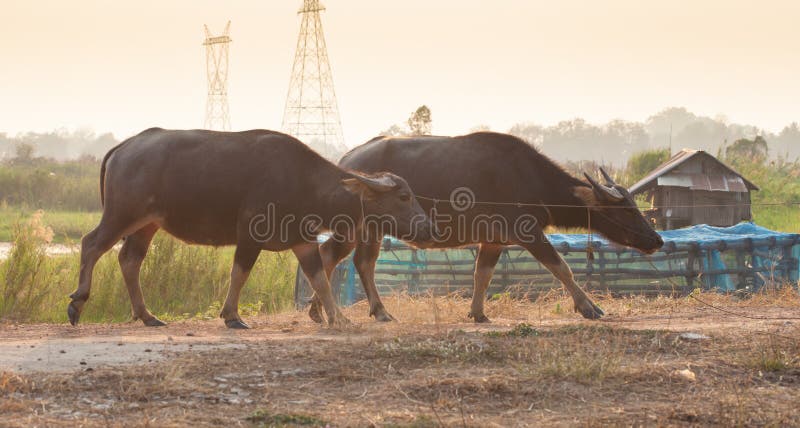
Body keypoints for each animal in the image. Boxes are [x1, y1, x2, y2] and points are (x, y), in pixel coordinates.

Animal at [67, 128, 433, 329]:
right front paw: (232, 316)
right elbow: (240, 273)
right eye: (403, 196)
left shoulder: (302, 241)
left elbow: (319, 279)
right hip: (121, 214)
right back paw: (77, 303)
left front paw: (339, 318)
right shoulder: (250, 235)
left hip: (148, 224)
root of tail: (125, 146)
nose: (427, 226)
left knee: (129, 260)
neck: (304, 183)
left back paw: (147, 315)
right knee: (91, 244)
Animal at [310, 132, 663, 323]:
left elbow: (482, 274)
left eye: (635, 206)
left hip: (358, 229)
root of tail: (346, 161)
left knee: (330, 255)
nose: (656, 239)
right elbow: (562, 267)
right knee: (360, 262)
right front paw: (589, 307)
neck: (531, 179)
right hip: (366, 227)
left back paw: (319, 311)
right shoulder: (528, 232)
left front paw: (478, 312)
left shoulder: (494, 241)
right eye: (626, 209)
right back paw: (379, 311)